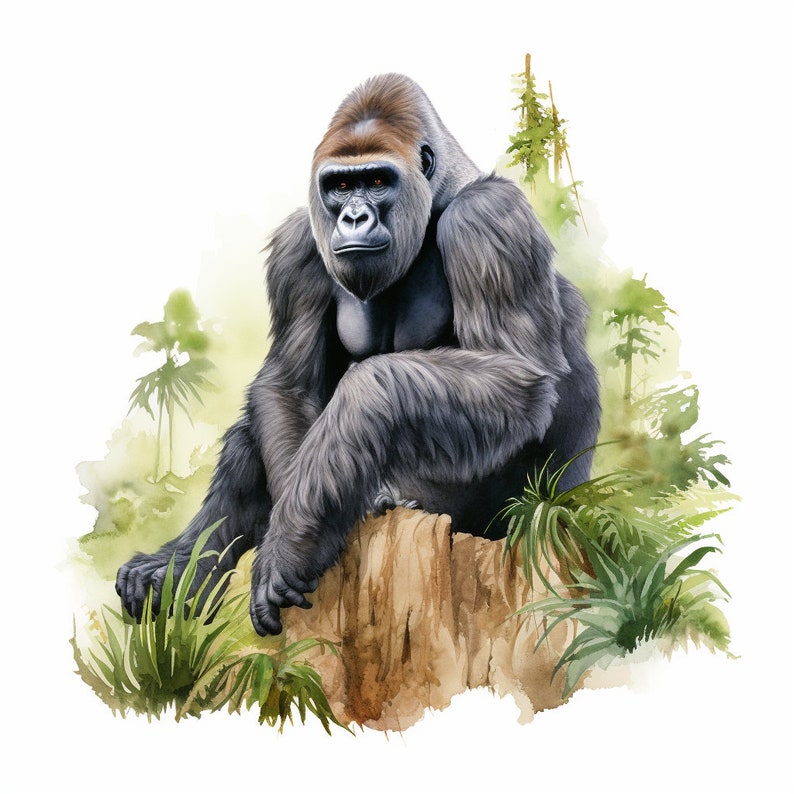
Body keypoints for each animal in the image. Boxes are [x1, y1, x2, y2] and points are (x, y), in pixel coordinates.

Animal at [116, 74, 600, 636]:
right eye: (341, 187)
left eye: (376, 180)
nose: (353, 216)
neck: (439, 194)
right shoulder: (298, 242)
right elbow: (288, 385)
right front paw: (302, 530)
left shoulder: (490, 219)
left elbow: (513, 375)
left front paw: (292, 539)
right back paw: (178, 567)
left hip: (520, 513)